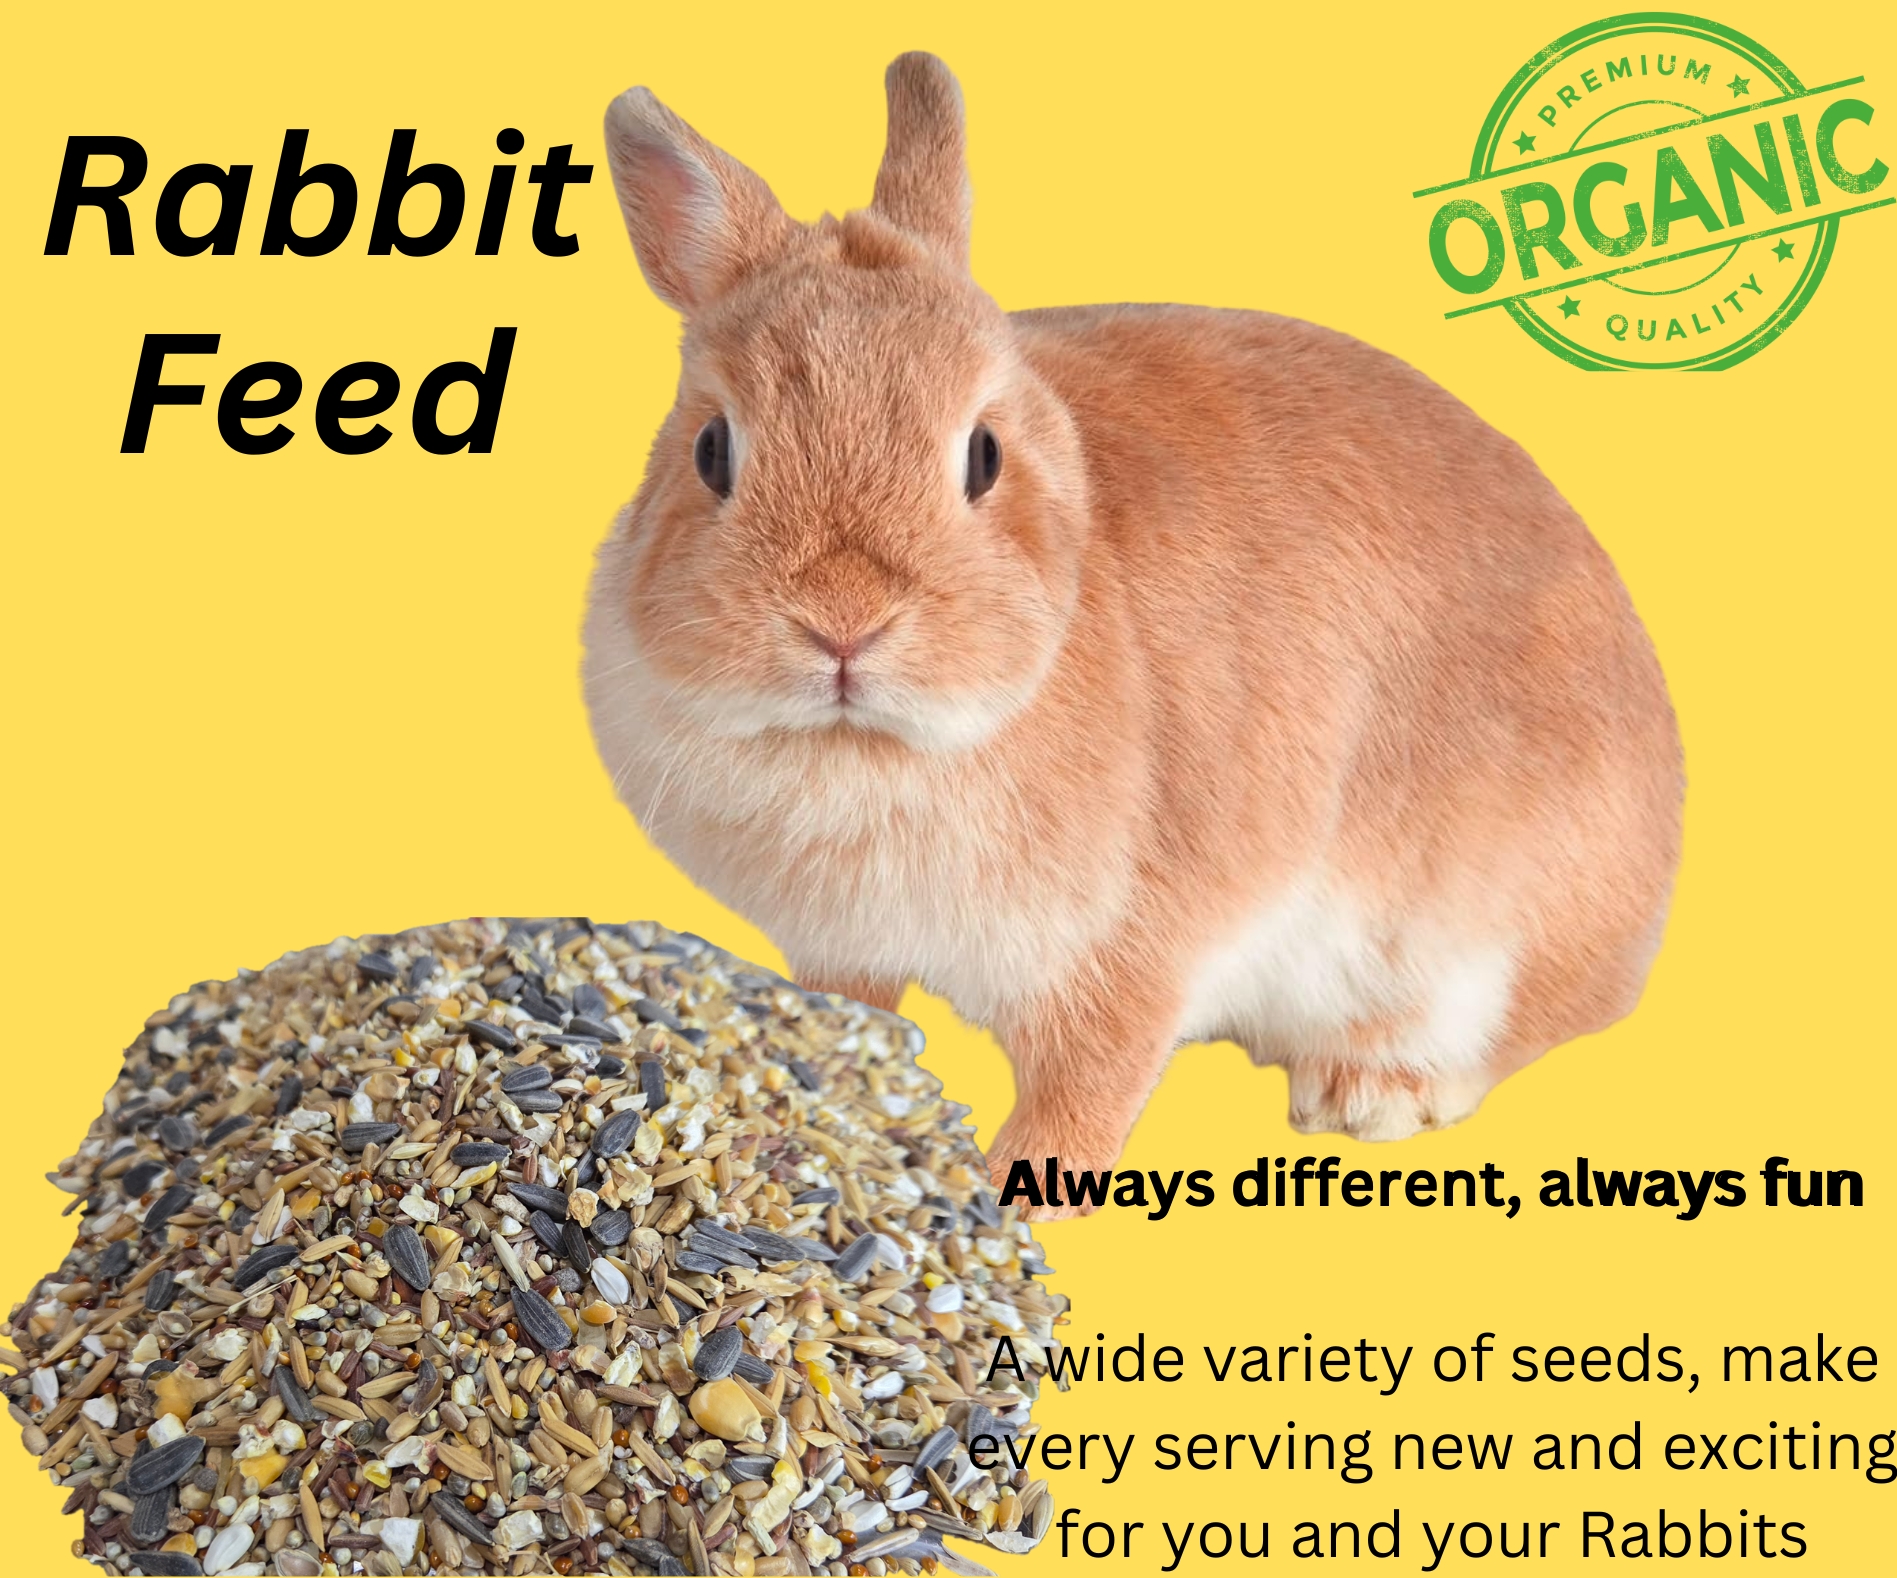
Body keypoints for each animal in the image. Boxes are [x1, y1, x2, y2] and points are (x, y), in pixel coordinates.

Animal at [583, 53, 1683, 1216]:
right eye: (711, 450)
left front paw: (1016, 1193)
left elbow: (1090, 1076)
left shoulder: (1139, 938)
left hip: (1484, 927)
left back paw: (1368, 1095)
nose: (843, 621)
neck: (869, 749)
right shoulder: (849, 945)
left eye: (982, 455)